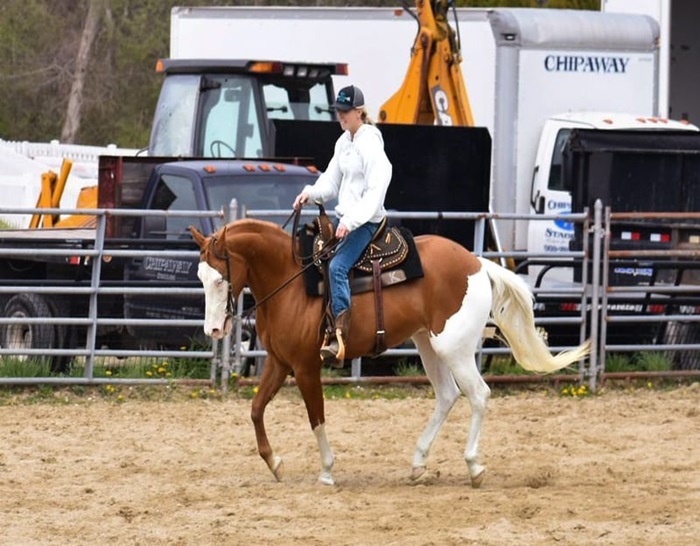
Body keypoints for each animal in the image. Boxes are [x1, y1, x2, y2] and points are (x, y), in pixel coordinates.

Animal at [190, 219, 590, 487]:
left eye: (220, 278)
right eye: (200, 277)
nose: (213, 330)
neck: (292, 280)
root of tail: (477, 263)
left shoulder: (305, 367)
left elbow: (316, 418)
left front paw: (327, 470)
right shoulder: (279, 362)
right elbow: (256, 410)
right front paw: (274, 462)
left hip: (454, 347)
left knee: (478, 394)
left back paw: (474, 465)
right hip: (427, 344)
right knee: (447, 395)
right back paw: (418, 464)